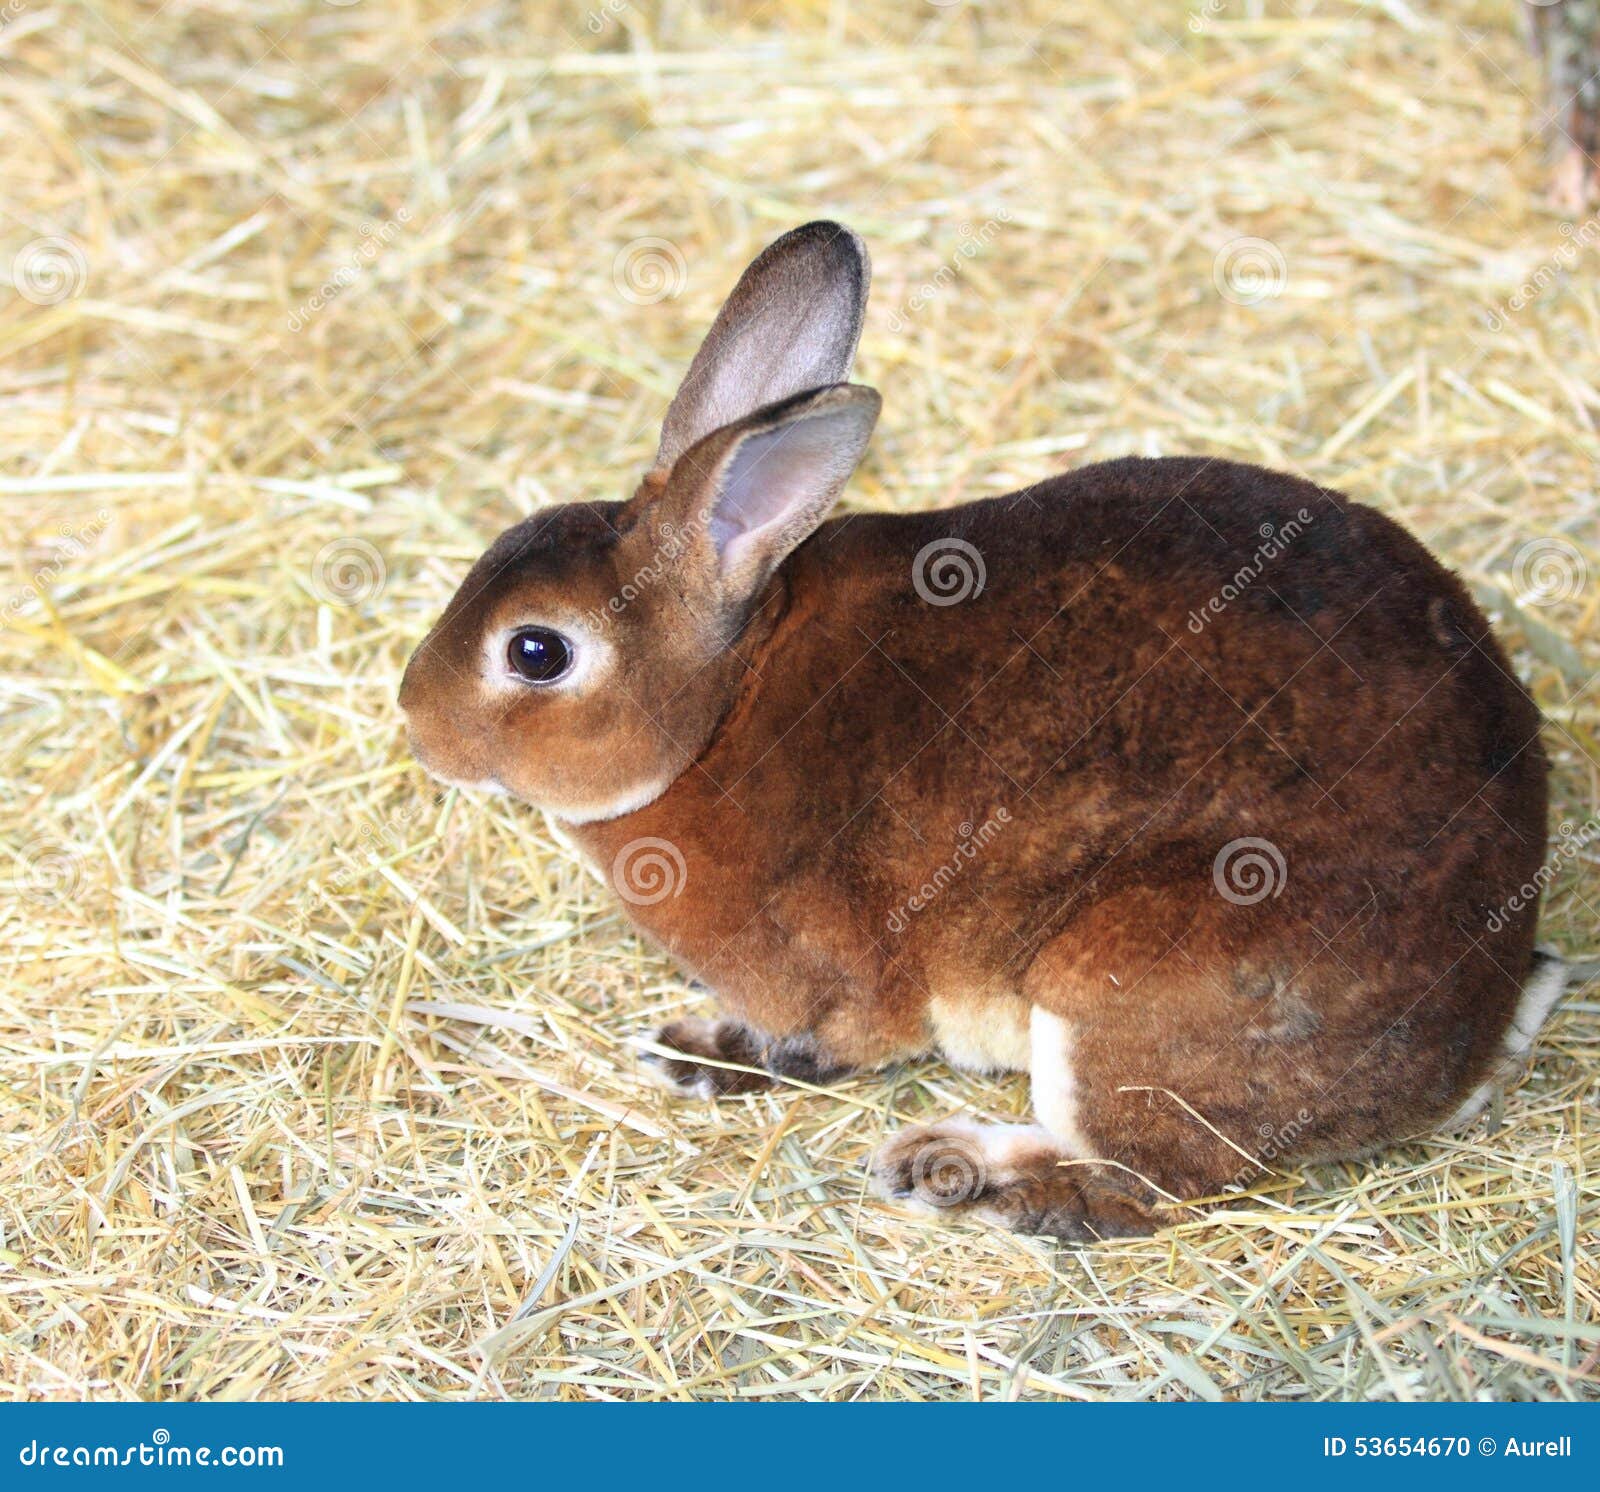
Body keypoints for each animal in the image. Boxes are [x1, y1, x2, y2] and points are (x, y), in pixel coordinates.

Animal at [399, 220, 1565, 1241]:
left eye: (535, 652)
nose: (415, 723)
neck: (721, 706)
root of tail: (1469, 1040)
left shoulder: (829, 980)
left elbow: (822, 1047)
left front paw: (698, 1050)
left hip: (1114, 991)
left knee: (1144, 1182)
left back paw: (952, 1167)